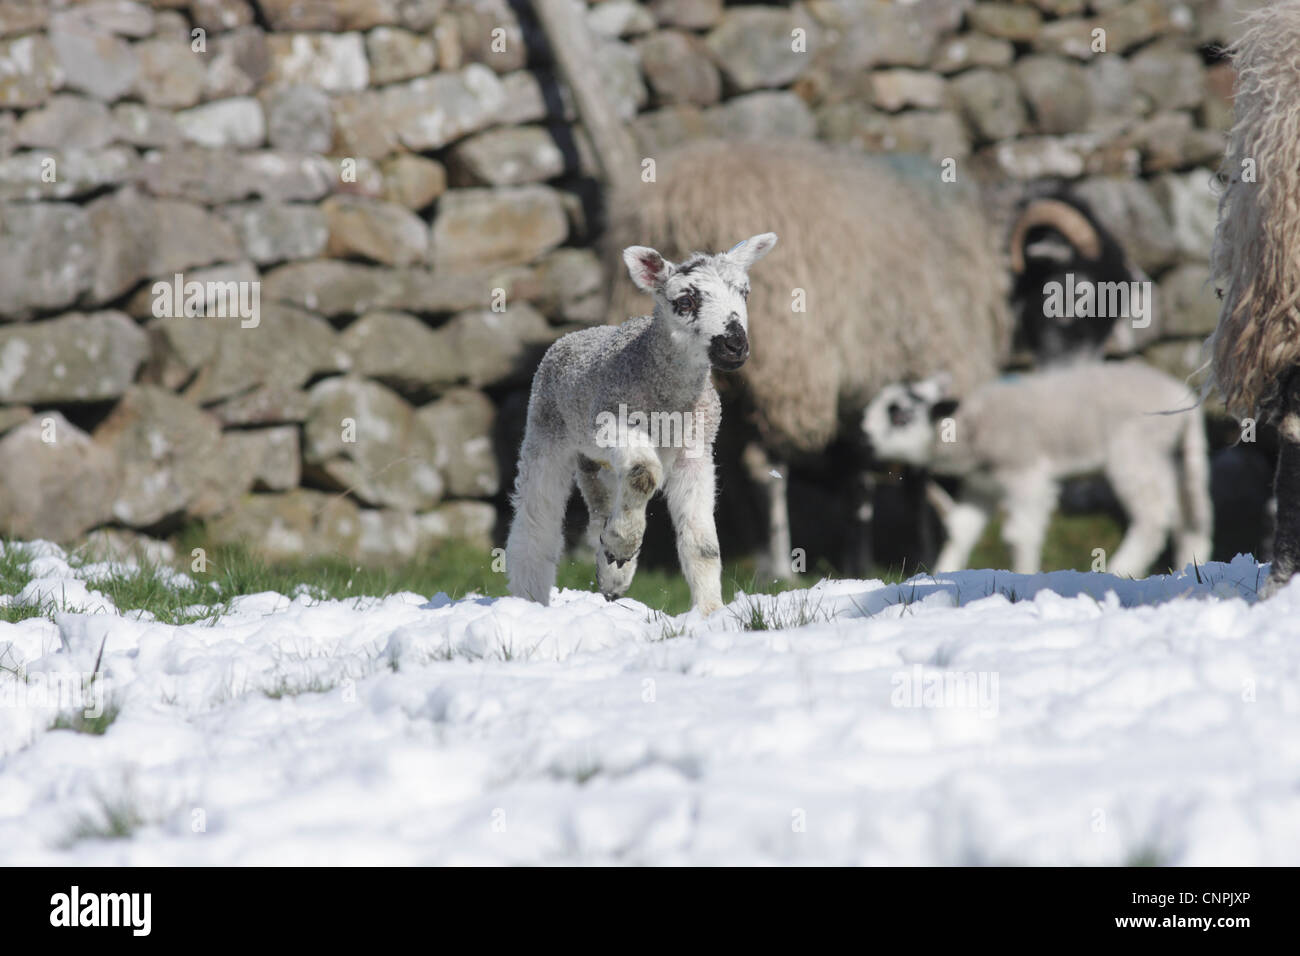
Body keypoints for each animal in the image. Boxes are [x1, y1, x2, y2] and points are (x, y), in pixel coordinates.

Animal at [505, 233, 778, 616]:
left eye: (745, 292)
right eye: (686, 300)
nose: (735, 344)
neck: (668, 400)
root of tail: (581, 332)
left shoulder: (697, 449)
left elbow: (703, 544)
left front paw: (710, 611)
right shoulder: (612, 422)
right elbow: (644, 473)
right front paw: (623, 543)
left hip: (596, 462)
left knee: (601, 510)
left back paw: (613, 572)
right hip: (547, 429)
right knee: (535, 521)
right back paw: (528, 599)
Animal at [861, 362, 1212, 577]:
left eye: (900, 416)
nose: (863, 439)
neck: (972, 426)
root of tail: (1184, 399)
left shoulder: (1026, 475)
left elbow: (1020, 534)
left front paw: (1023, 575)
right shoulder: (982, 487)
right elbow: (961, 529)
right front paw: (943, 574)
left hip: (1134, 452)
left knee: (1153, 516)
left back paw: (1119, 568)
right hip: (1169, 456)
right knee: (1187, 516)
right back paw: (1188, 565)